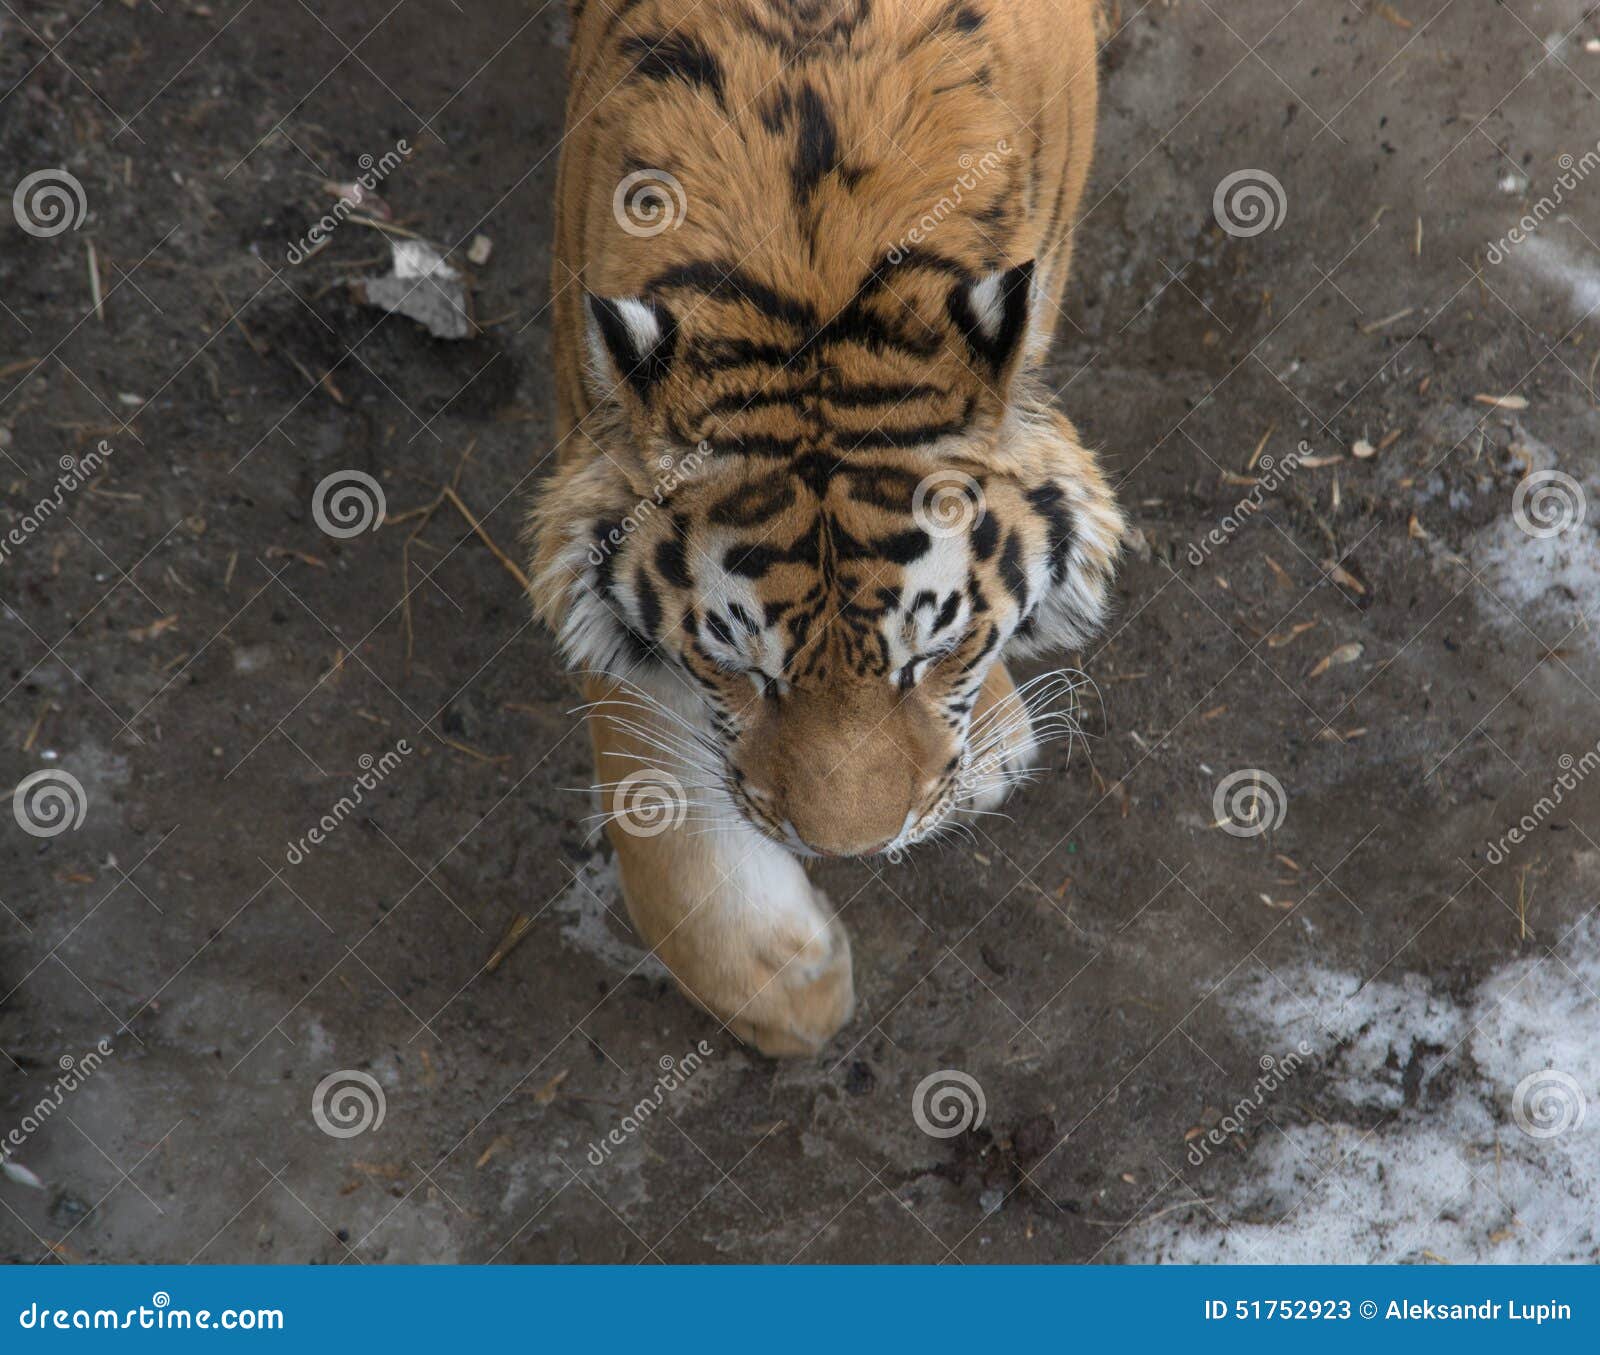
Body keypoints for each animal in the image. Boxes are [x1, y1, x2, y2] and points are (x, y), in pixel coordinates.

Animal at [530, 0, 1124, 1056]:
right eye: (741, 667)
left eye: (932, 654)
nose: (852, 848)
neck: (816, 267)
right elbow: (648, 757)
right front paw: (779, 982)